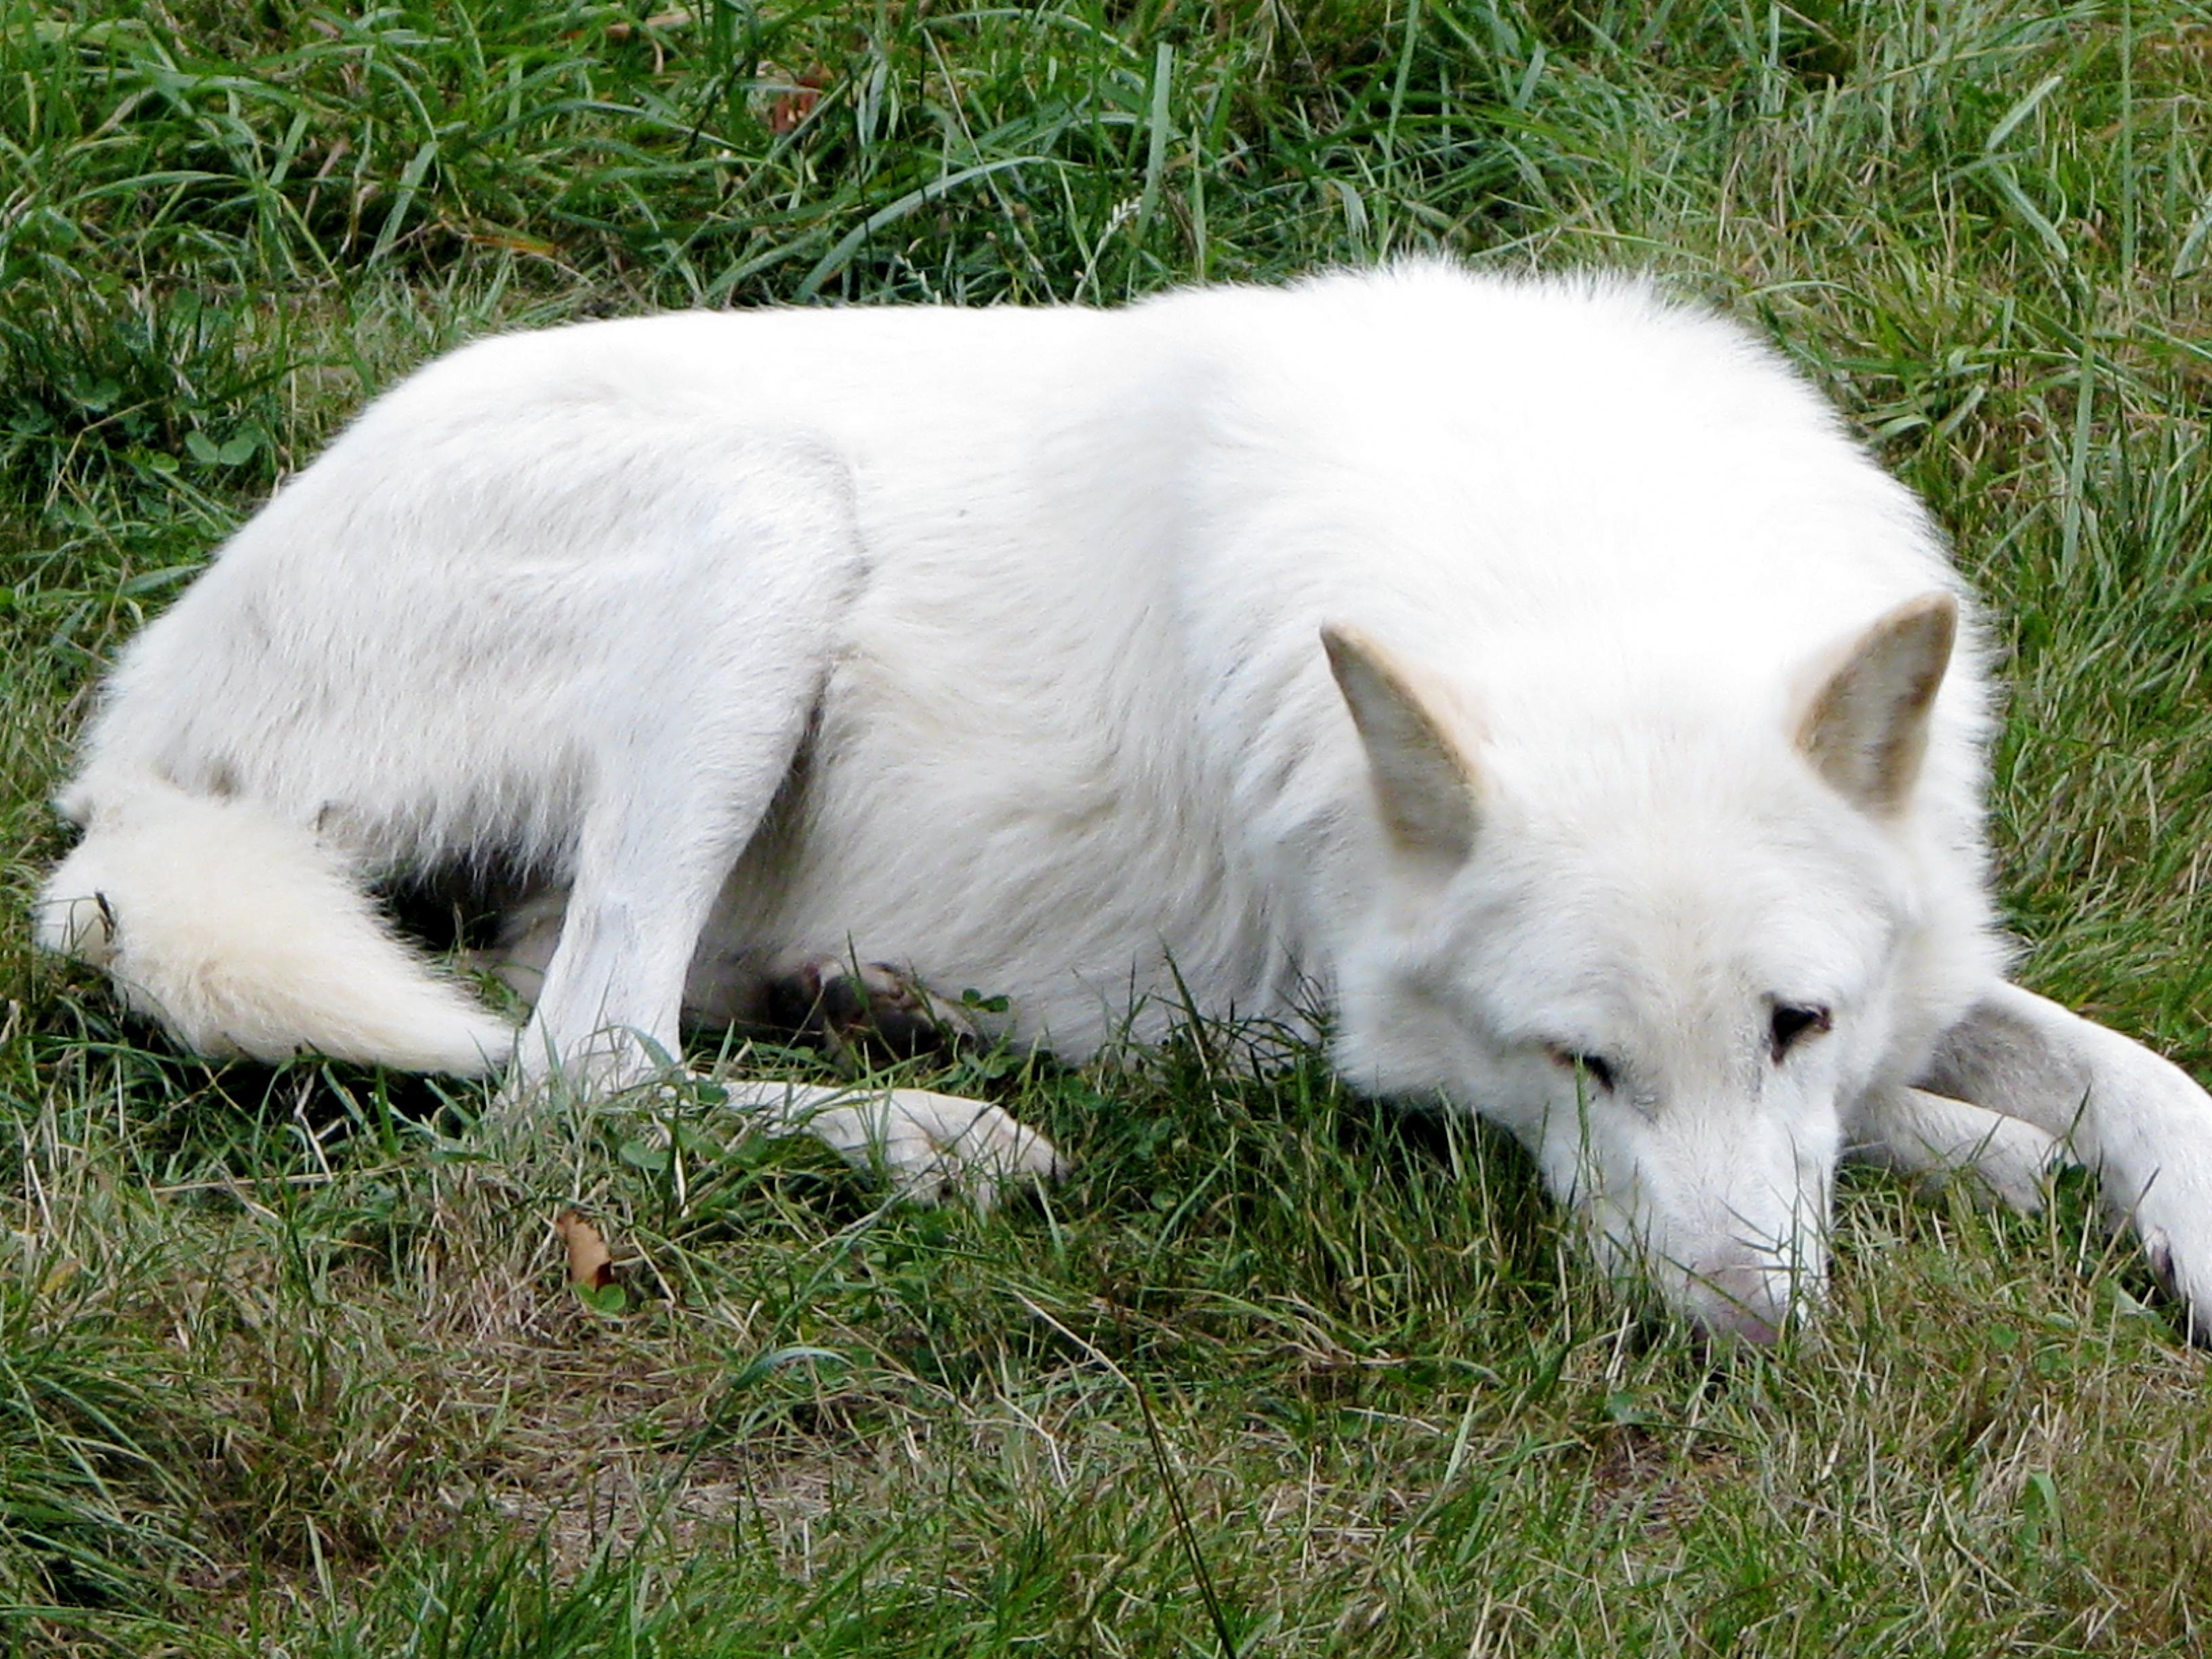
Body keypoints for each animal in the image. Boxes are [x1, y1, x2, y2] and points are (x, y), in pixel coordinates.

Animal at [35, 264, 2212, 1343]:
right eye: (1576, 1063)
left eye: (1792, 1019)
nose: (1747, 1336)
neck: (1583, 576)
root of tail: (140, 714)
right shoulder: (1338, 1022)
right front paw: (1976, 1153)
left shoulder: (1923, 968)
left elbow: (2135, 1071)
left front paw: (2102, 1183)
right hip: (767, 523)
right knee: (582, 1071)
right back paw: (937, 1133)